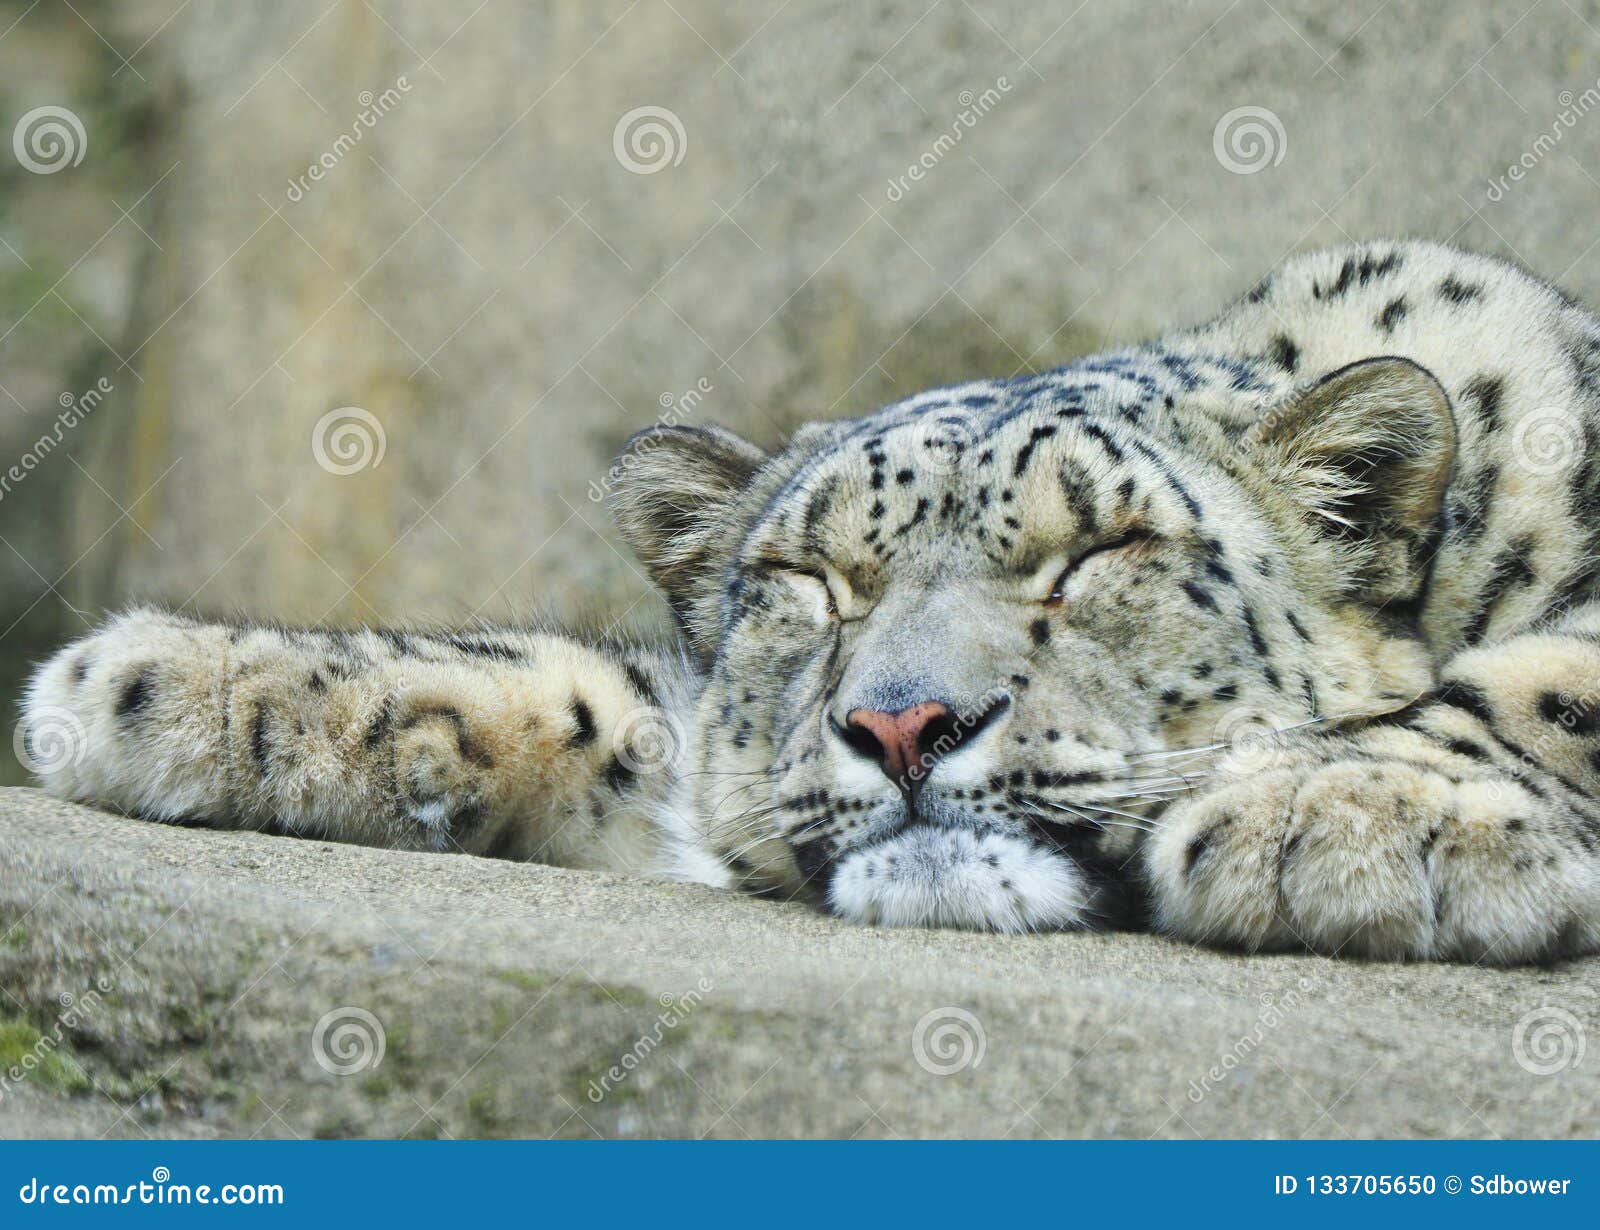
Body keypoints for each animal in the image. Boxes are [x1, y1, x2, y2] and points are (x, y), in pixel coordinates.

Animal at [22, 240, 1600, 964]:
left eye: (1099, 554)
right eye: (809, 582)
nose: (903, 724)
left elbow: (1552, 677)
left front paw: (1347, 816)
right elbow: (615, 702)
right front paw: (174, 684)